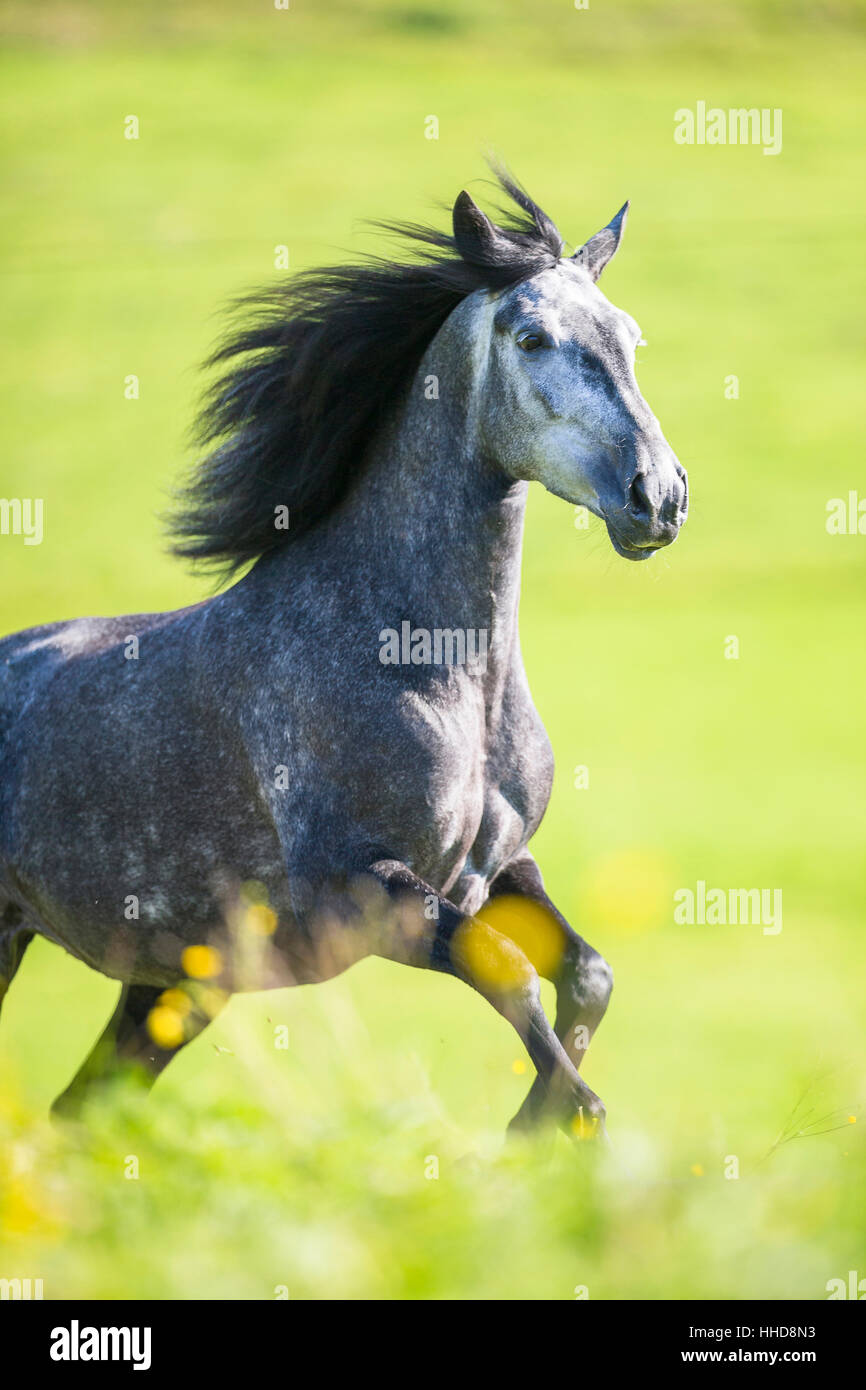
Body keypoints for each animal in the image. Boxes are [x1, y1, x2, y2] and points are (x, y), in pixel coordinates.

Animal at [0, 167, 687, 1135]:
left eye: (629, 337)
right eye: (531, 336)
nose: (657, 498)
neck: (432, 666)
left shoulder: (500, 869)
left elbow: (587, 974)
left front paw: (534, 1127)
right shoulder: (359, 890)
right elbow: (507, 972)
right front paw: (564, 1119)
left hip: (172, 991)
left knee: (80, 1110)